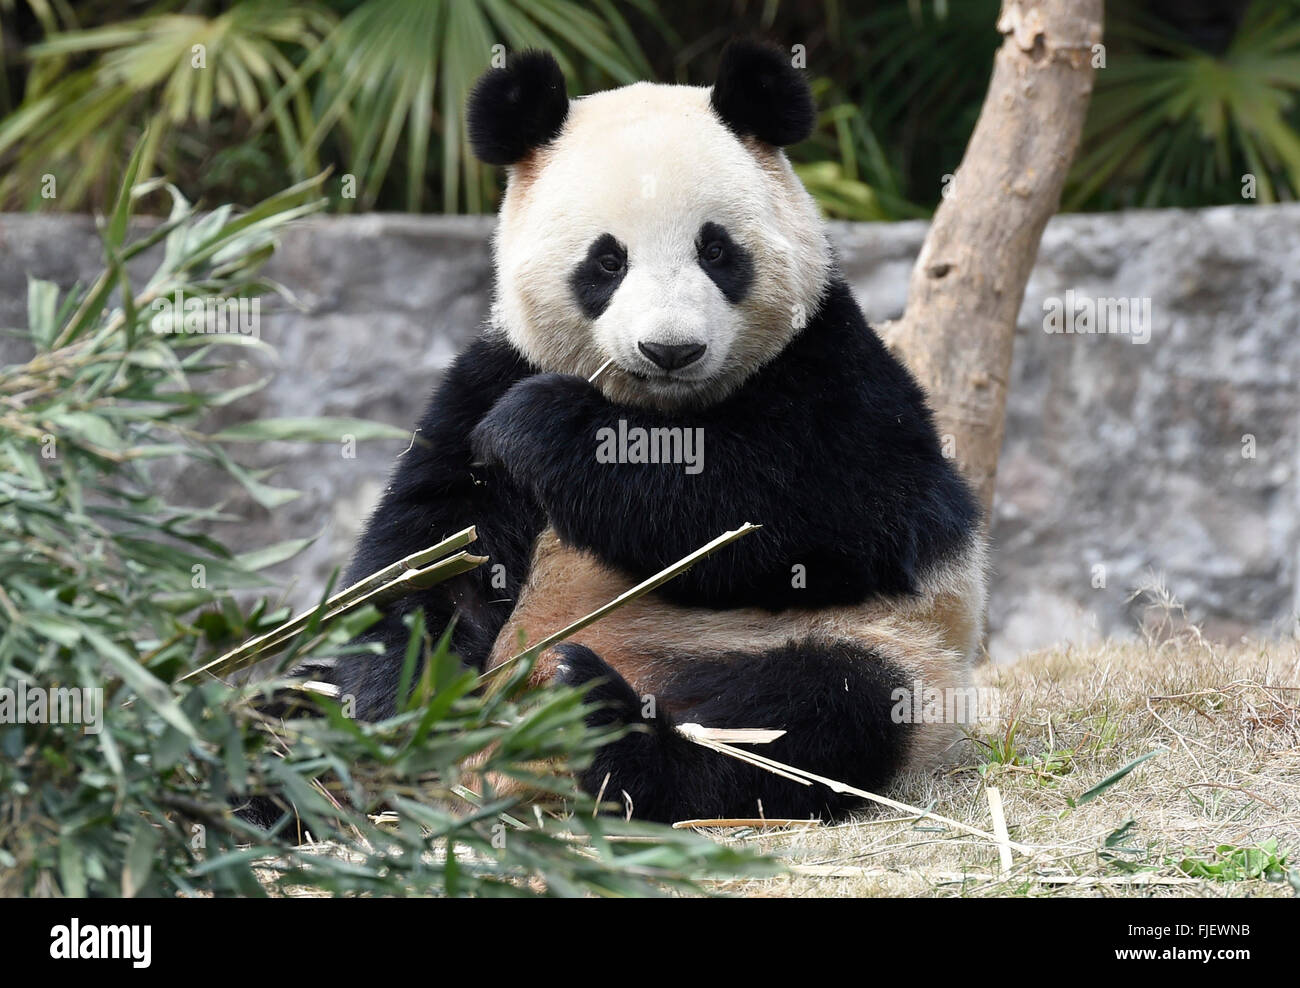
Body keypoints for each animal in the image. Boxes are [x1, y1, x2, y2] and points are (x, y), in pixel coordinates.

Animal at [330, 40, 988, 824]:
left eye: (717, 251)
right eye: (607, 260)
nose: (670, 350)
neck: (654, 409)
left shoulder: (835, 368)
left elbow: (832, 507)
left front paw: (542, 426)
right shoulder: (488, 374)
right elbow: (435, 552)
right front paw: (395, 712)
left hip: (883, 648)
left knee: (813, 713)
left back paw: (604, 723)